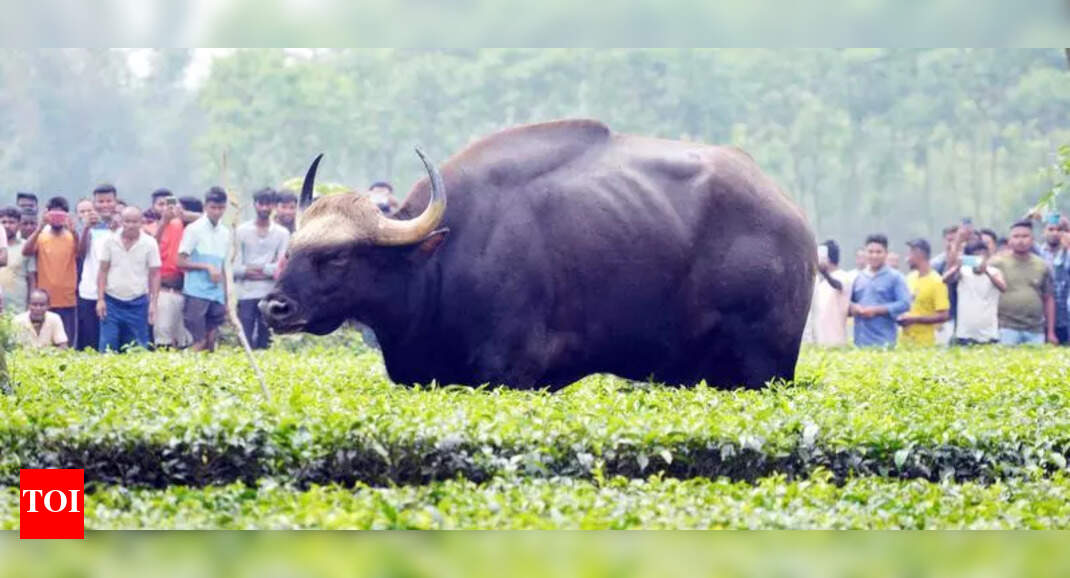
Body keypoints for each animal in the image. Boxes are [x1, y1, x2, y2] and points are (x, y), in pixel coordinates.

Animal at [261, 119, 816, 390]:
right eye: (294, 249)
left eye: (338, 255)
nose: (274, 307)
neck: (442, 263)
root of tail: (793, 219)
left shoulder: (510, 374)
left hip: (766, 367)